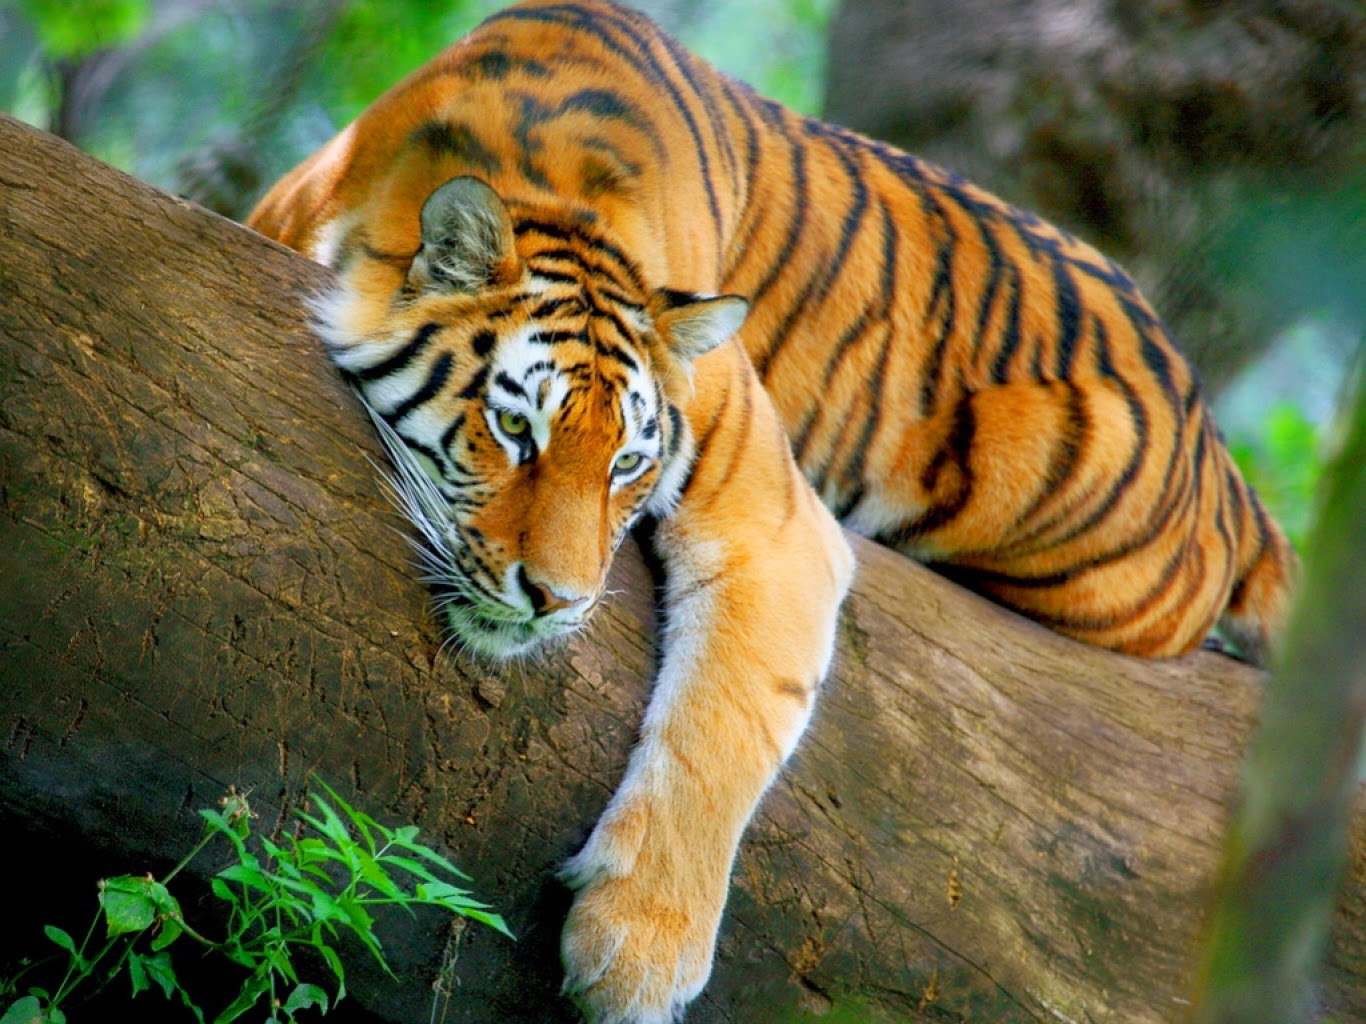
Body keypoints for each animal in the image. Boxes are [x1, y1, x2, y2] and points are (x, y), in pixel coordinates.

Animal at [247, 1, 1296, 1020]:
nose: (558, 601)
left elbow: (726, 726)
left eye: (628, 463)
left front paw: (637, 956)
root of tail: (1217, 446)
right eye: (515, 429)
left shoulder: (776, 523)